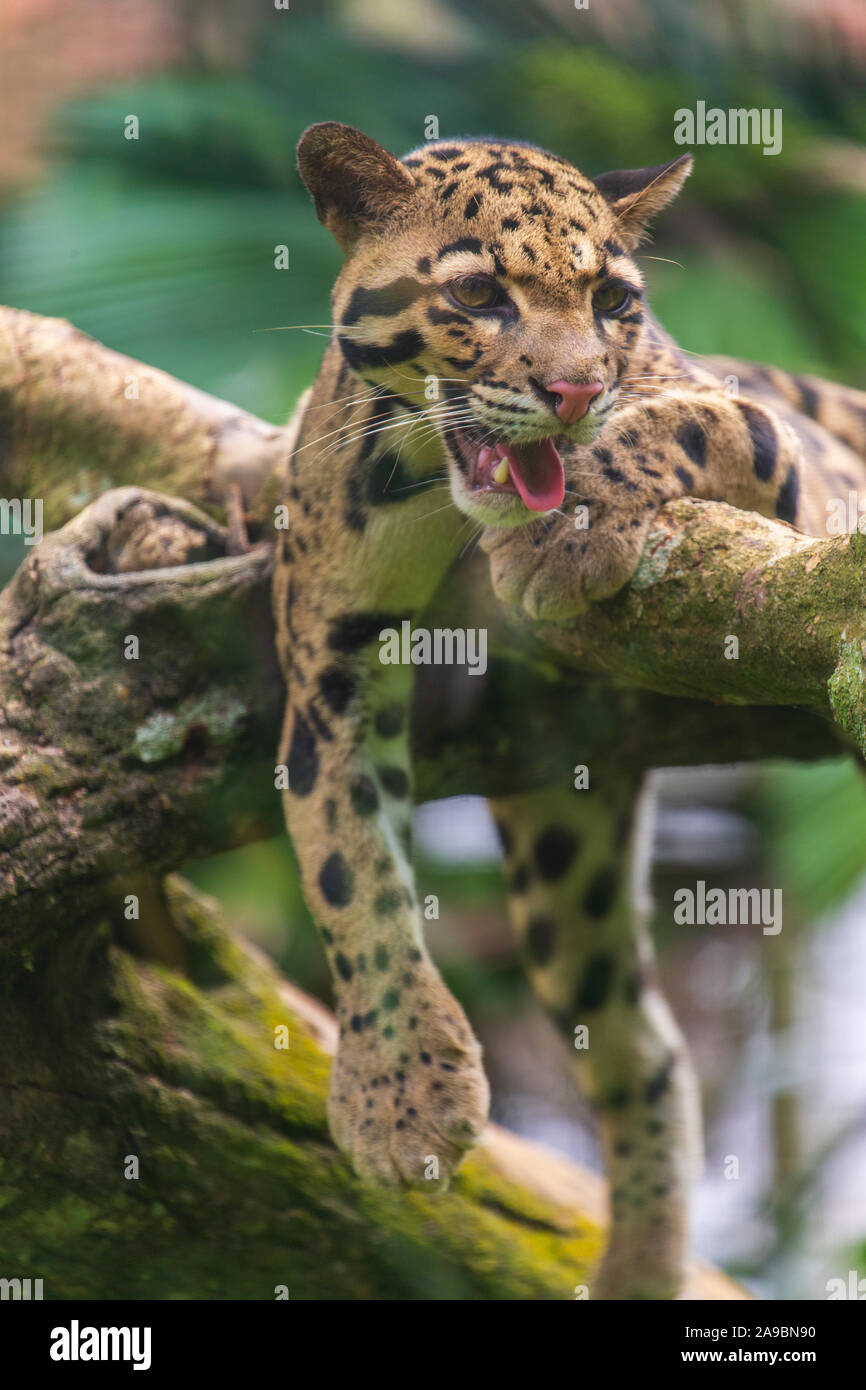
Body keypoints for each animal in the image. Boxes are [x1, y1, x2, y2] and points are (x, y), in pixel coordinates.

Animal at [273, 121, 866, 1299]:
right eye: (477, 293)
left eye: (612, 302)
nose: (575, 391)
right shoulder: (325, 651)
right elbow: (343, 857)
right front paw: (398, 1088)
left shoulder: (810, 481)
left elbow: (702, 414)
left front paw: (571, 524)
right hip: (562, 847)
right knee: (637, 1045)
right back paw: (637, 1266)